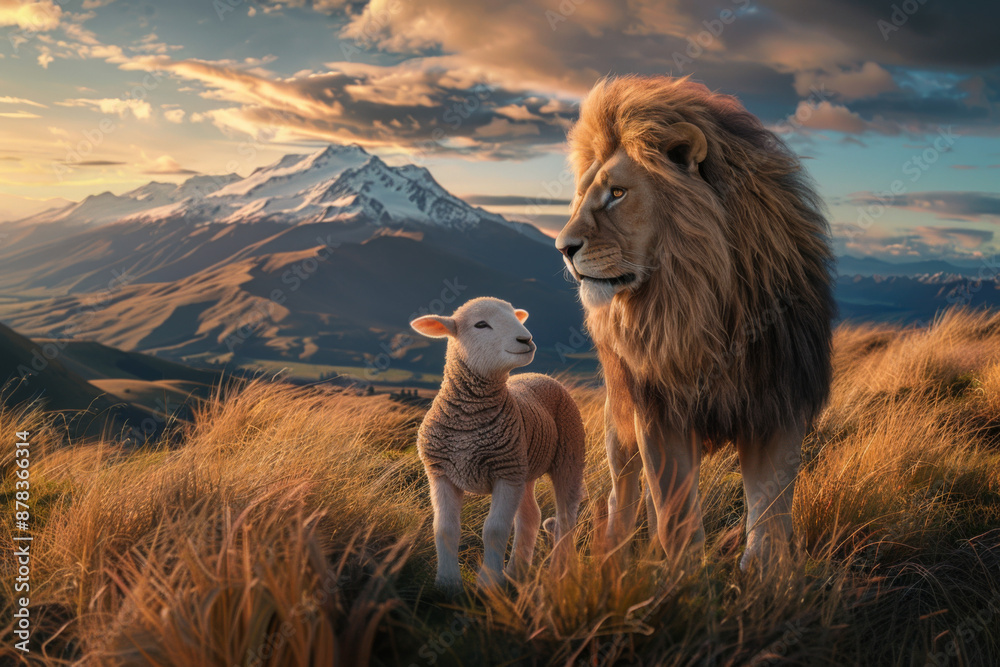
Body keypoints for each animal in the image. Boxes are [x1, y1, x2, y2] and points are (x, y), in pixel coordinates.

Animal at [410, 297, 586, 592]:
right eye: (481, 324)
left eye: (515, 316)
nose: (526, 339)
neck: (468, 423)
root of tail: (541, 375)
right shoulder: (440, 473)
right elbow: (445, 528)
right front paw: (447, 582)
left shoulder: (505, 473)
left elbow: (494, 529)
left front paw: (490, 582)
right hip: (523, 469)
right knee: (530, 517)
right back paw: (517, 572)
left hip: (568, 457)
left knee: (565, 519)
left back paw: (561, 572)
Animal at [555, 75, 835, 569]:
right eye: (583, 195)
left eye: (618, 193)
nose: (563, 248)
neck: (699, 304)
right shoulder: (658, 411)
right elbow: (676, 517)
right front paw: (684, 579)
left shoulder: (777, 403)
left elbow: (770, 513)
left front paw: (766, 576)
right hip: (617, 419)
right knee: (623, 493)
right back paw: (617, 556)